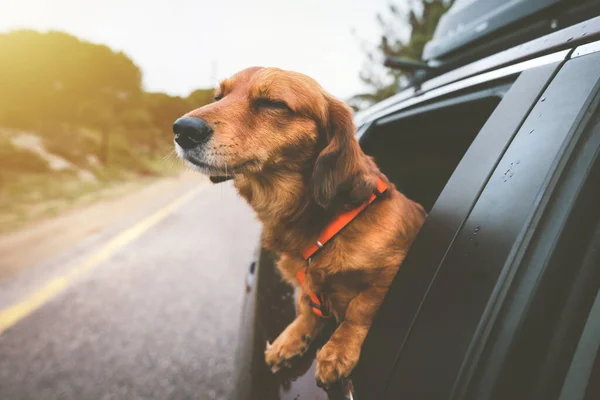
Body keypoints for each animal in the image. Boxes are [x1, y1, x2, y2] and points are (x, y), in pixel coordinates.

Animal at [173, 66, 426, 388]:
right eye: (219, 96)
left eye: (273, 103)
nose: (182, 129)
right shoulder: (303, 282)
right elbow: (307, 305)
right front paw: (293, 337)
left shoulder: (392, 270)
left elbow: (360, 309)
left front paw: (338, 348)